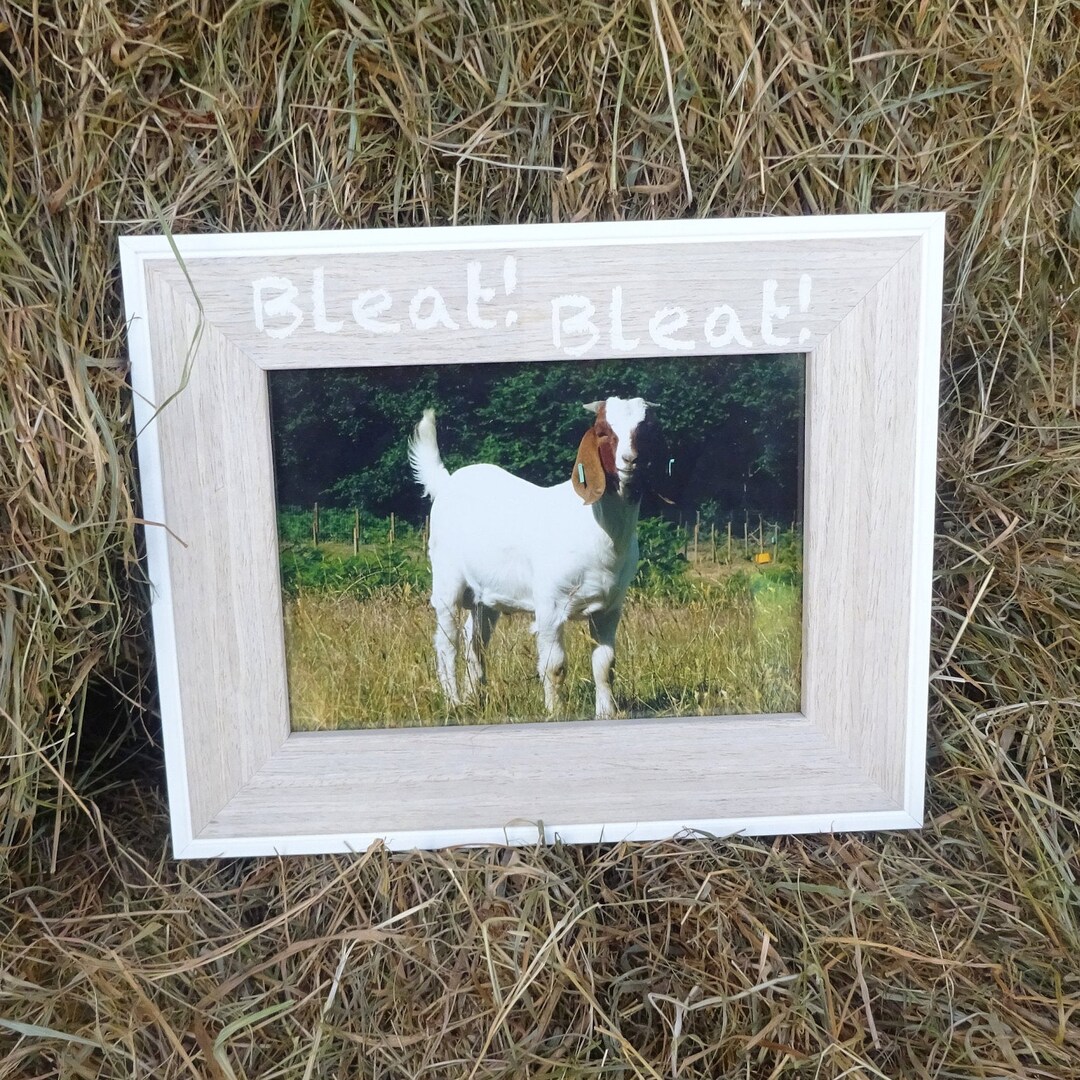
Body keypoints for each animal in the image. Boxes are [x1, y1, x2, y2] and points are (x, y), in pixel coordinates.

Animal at [408, 397, 663, 720]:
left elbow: (605, 665)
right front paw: (555, 712)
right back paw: (453, 702)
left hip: (484, 597)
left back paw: (473, 698)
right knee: (447, 640)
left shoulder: (609, 609)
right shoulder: (550, 605)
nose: (630, 460)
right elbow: (555, 666)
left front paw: (606, 713)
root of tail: (447, 483)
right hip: (446, 580)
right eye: (603, 431)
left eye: (646, 430)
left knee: (475, 640)